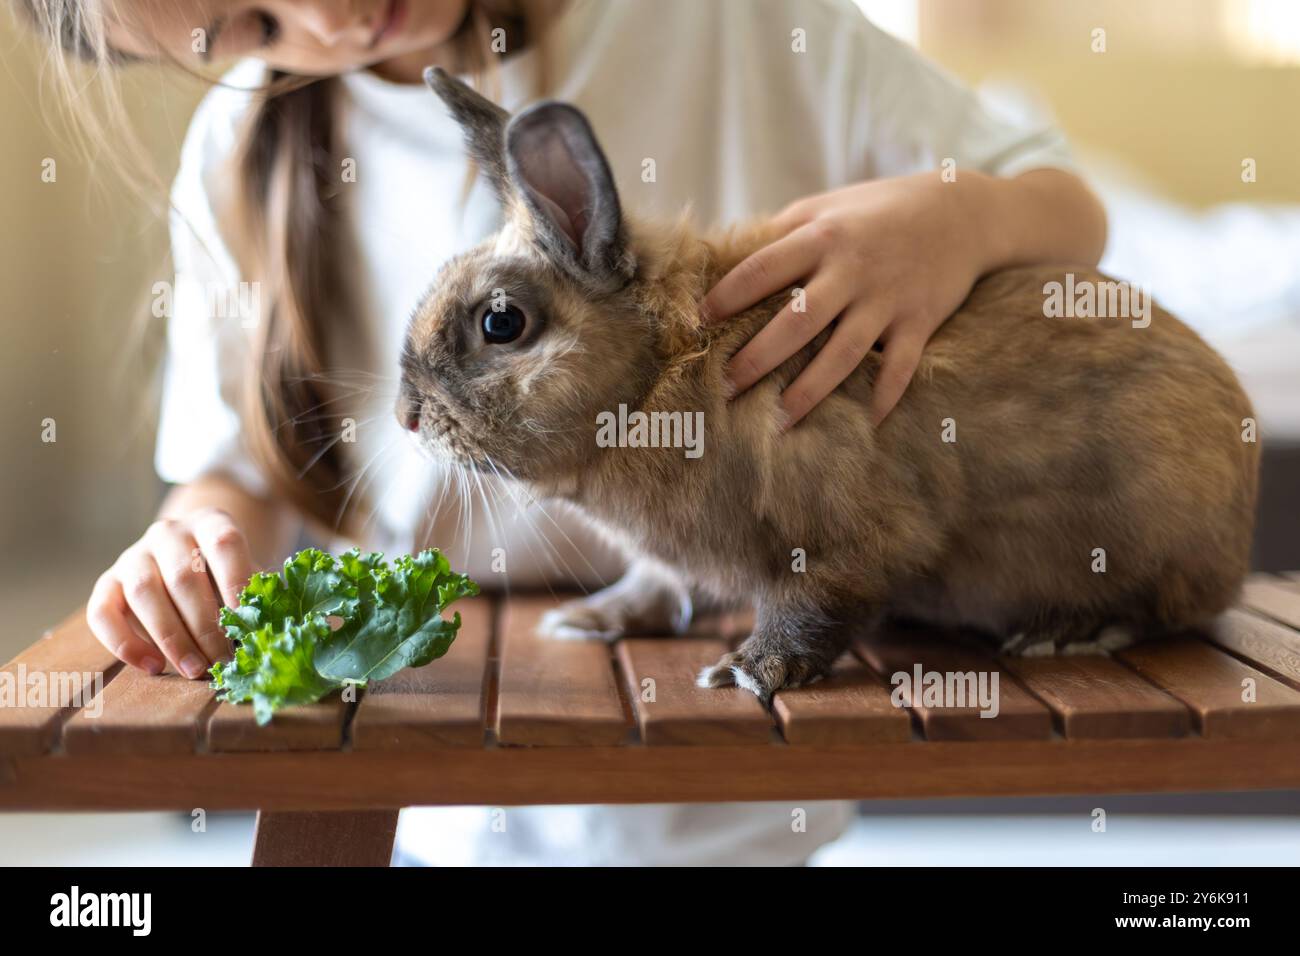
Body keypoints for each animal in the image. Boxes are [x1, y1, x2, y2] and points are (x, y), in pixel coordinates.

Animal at [397, 67, 1260, 703]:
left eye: (501, 322)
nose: (407, 417)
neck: (661, 376)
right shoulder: (679, 558)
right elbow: (657, 583)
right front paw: (590, 621)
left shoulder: (848, 531)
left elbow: (816, 603)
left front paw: (750, 671)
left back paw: (1067, 632)